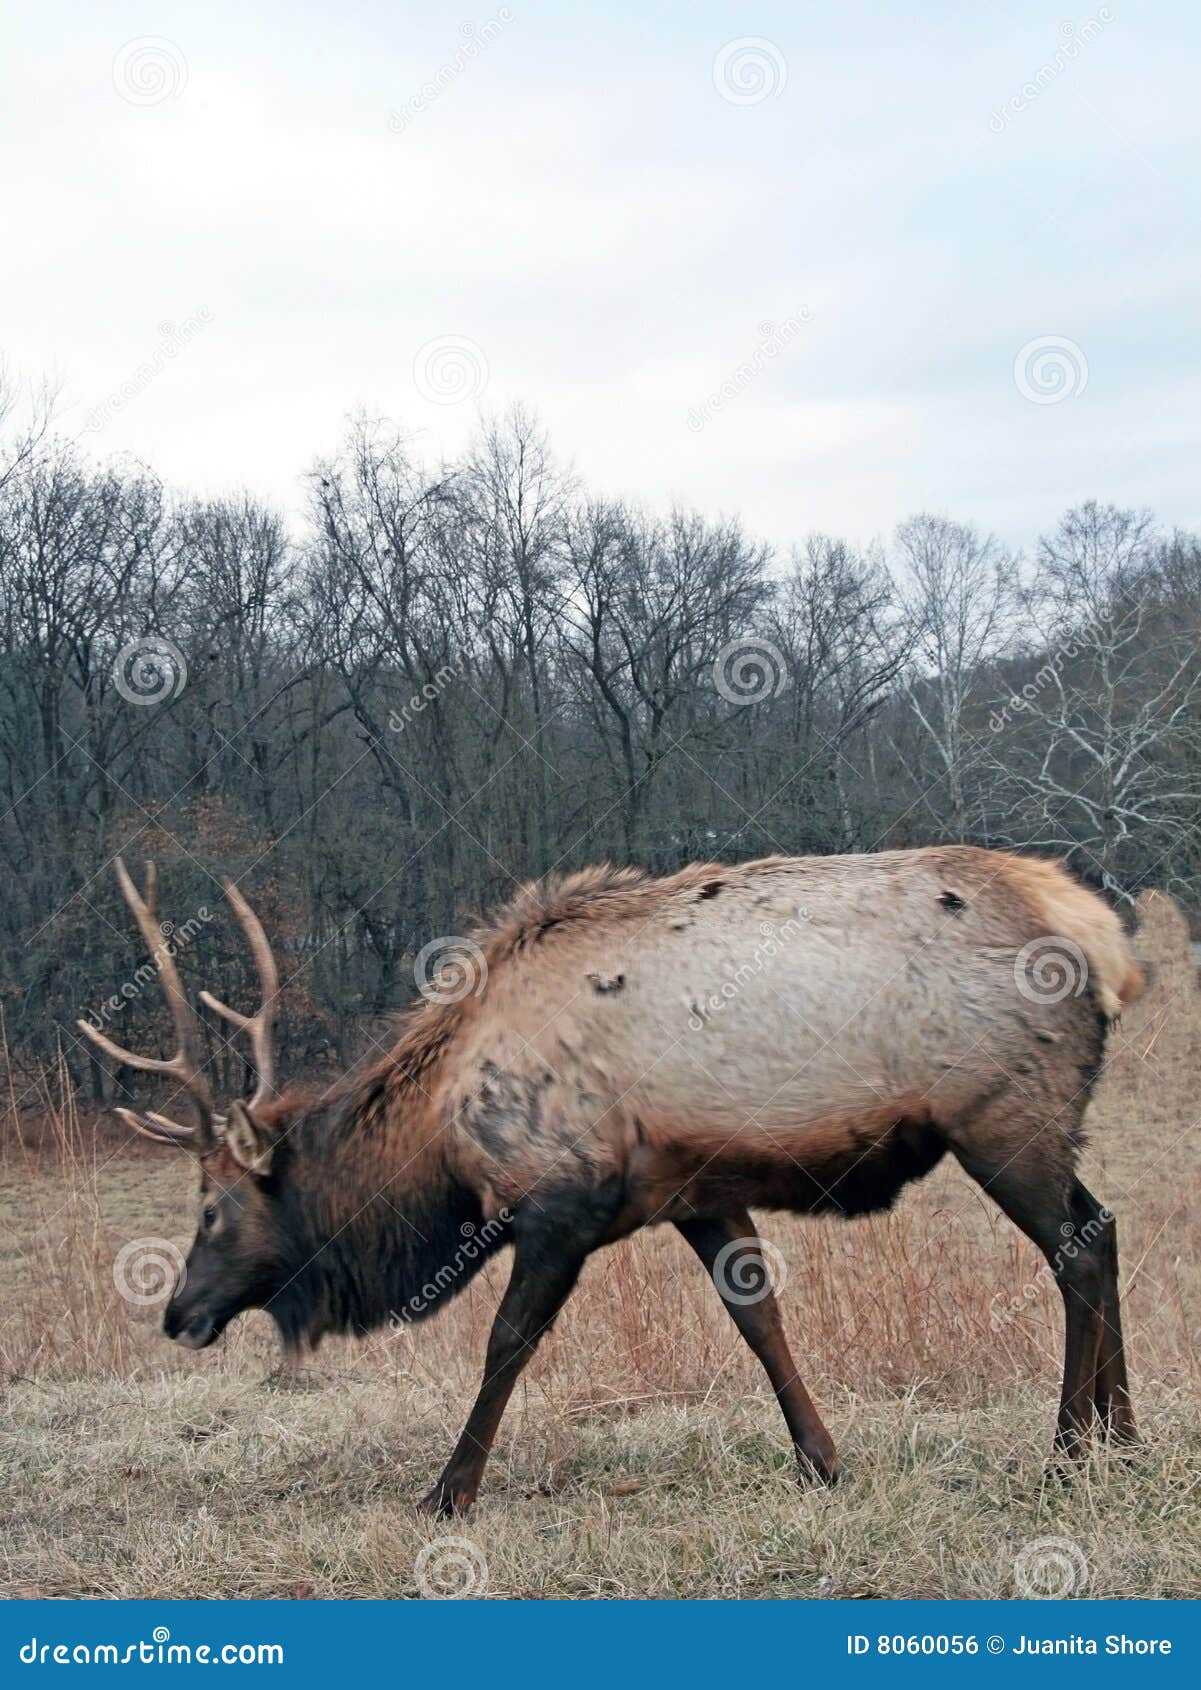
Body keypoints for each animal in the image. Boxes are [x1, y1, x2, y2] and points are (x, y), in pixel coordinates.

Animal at [78, 844, 1143, 1514]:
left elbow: (507, 1341)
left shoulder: (559, 1199)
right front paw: (821, 1461)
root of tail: (1103, 938)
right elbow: (759, 1319)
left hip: (1003, 1115)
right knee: (1104, 1230)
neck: (441, 1149)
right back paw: (1122, 1441)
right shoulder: (698, 1189)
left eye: (212, 1208)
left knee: (1077, 1252)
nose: (177, 1312)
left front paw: (447, 1491)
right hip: (1030, 1122)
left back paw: (1071, 1451)